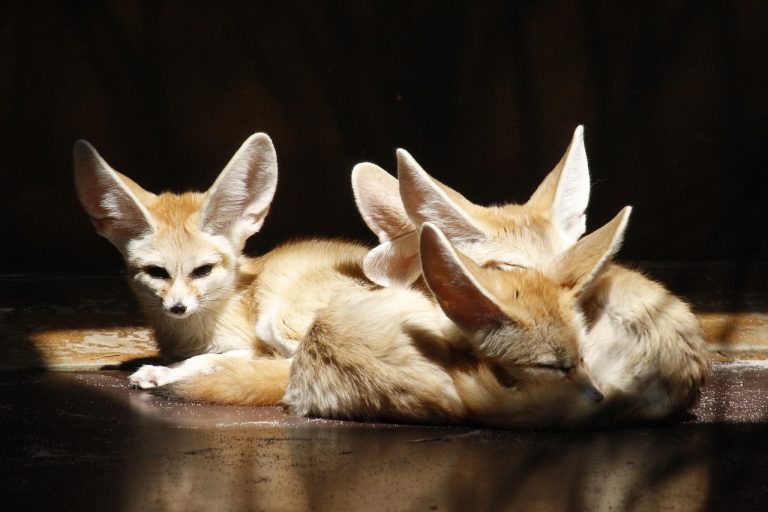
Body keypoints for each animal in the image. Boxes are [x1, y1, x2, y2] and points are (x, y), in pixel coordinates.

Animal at [73, 133, 375, 400]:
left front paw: (164, 371)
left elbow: (206, 359)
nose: (178, 307)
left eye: (203, 271)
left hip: (278, 319)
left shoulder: (252, 344)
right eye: (157, 273)